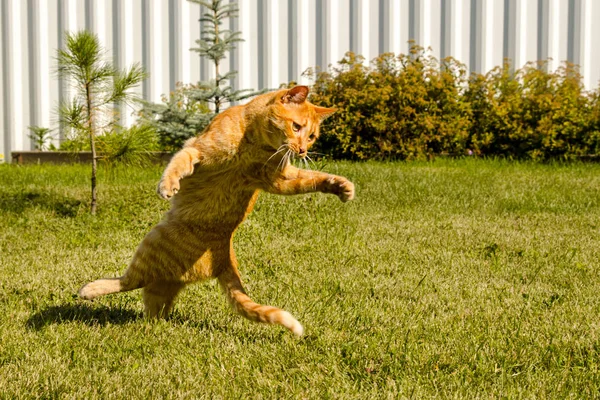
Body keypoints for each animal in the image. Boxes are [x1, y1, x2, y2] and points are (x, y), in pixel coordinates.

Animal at [77, 86, 354, 336]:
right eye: (296, 127)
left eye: (312, 136)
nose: (303, 150)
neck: (255, 143)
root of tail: (224, 254)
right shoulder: (205, 153)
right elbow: (179, 162)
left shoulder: (277, 179)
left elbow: (313, 178)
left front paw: (340, 186)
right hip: (161, 281)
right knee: (153, 306)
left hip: (151, 243)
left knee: (131, 283)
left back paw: (89, 290)